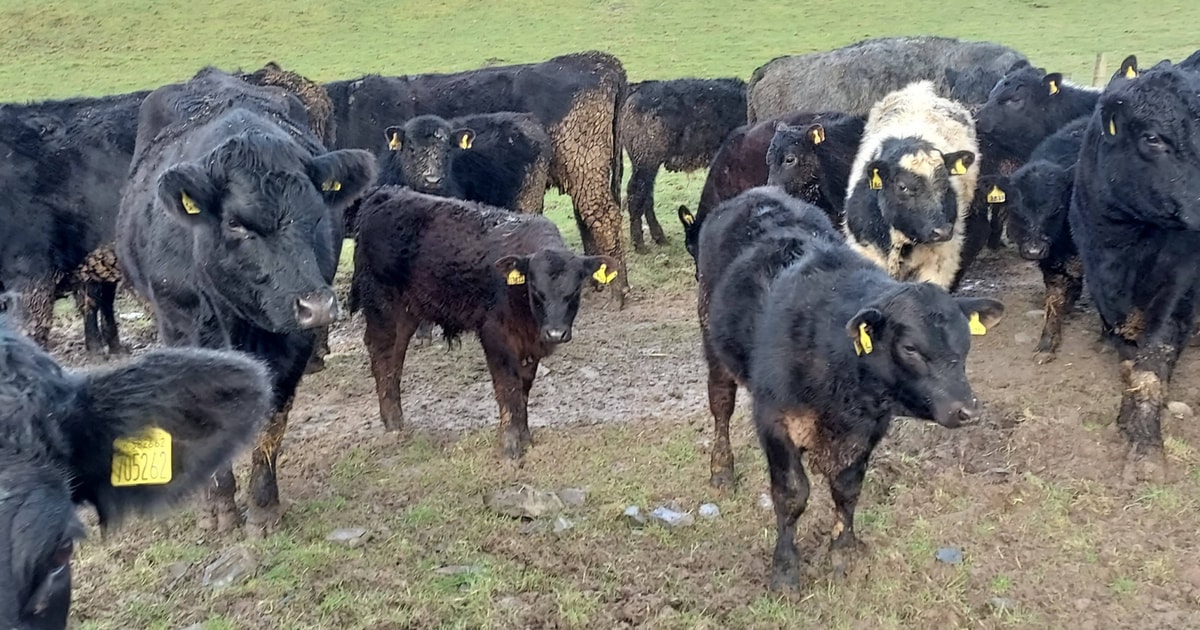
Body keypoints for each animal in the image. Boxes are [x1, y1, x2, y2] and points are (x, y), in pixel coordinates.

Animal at [116, 67, 377, 535]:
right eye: (235, 224)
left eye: (317, 211)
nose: (317, 305)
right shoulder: (184, 329)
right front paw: (219, 505)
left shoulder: (292, 342)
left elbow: (273, 420)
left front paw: (262, 506)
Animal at [350, 186, 617, 460]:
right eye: (535, 289)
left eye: (574, 291)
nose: (555, 333)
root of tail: (384, 194)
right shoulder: (495, 336)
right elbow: (507, 387)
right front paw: (511, 446)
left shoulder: (530, 345)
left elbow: (523, 388)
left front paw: (526, 438)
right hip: (382, 306)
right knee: (382, 356)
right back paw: (393, 424)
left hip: (406, 313)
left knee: (395, 358)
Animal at [618, 78, 747, 252]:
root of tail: (638, 88)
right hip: (646, 161)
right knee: (636, 194)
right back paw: (639, 244)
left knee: (647, 196)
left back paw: (659, 237)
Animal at [980, 117, 1087, 363]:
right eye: (1016, 210)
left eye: (1057, 209)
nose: (1033, 250)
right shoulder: (1051, 260)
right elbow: (1055, 296)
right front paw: (1047, 343)